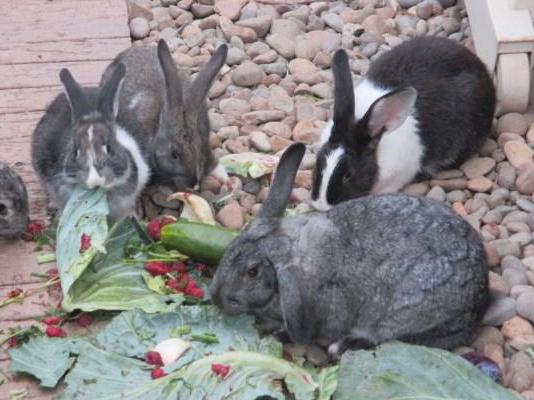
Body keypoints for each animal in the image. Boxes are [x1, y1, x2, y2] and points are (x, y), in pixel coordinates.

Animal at [211, 143, 492, 356]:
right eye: (229, 249)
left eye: (252, 272)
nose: (216, 299)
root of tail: (479, 298)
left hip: (406, 312)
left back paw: (343, 345)